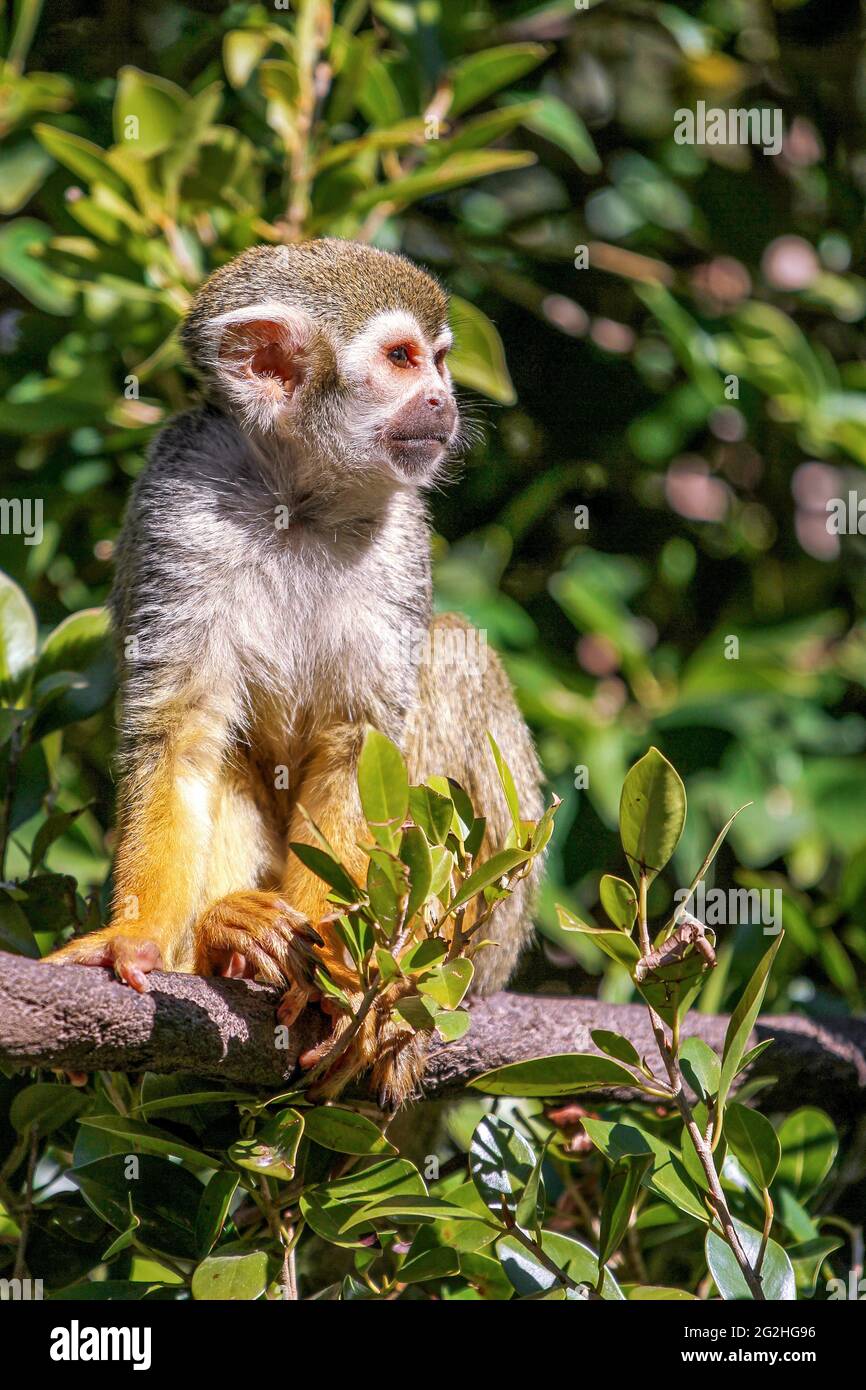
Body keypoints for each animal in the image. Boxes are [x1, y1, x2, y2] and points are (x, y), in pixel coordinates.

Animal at [47, 238, 543, 1106]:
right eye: (403, 359)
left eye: (443, 361)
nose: (444, 402)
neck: (300, 493)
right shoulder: (179, 496)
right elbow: (182, 731)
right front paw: (132, 937)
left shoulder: (403, 531)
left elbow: (359, 750)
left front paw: (346, 973)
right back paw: (222, 945)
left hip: (497, 945)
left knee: (452, 651)